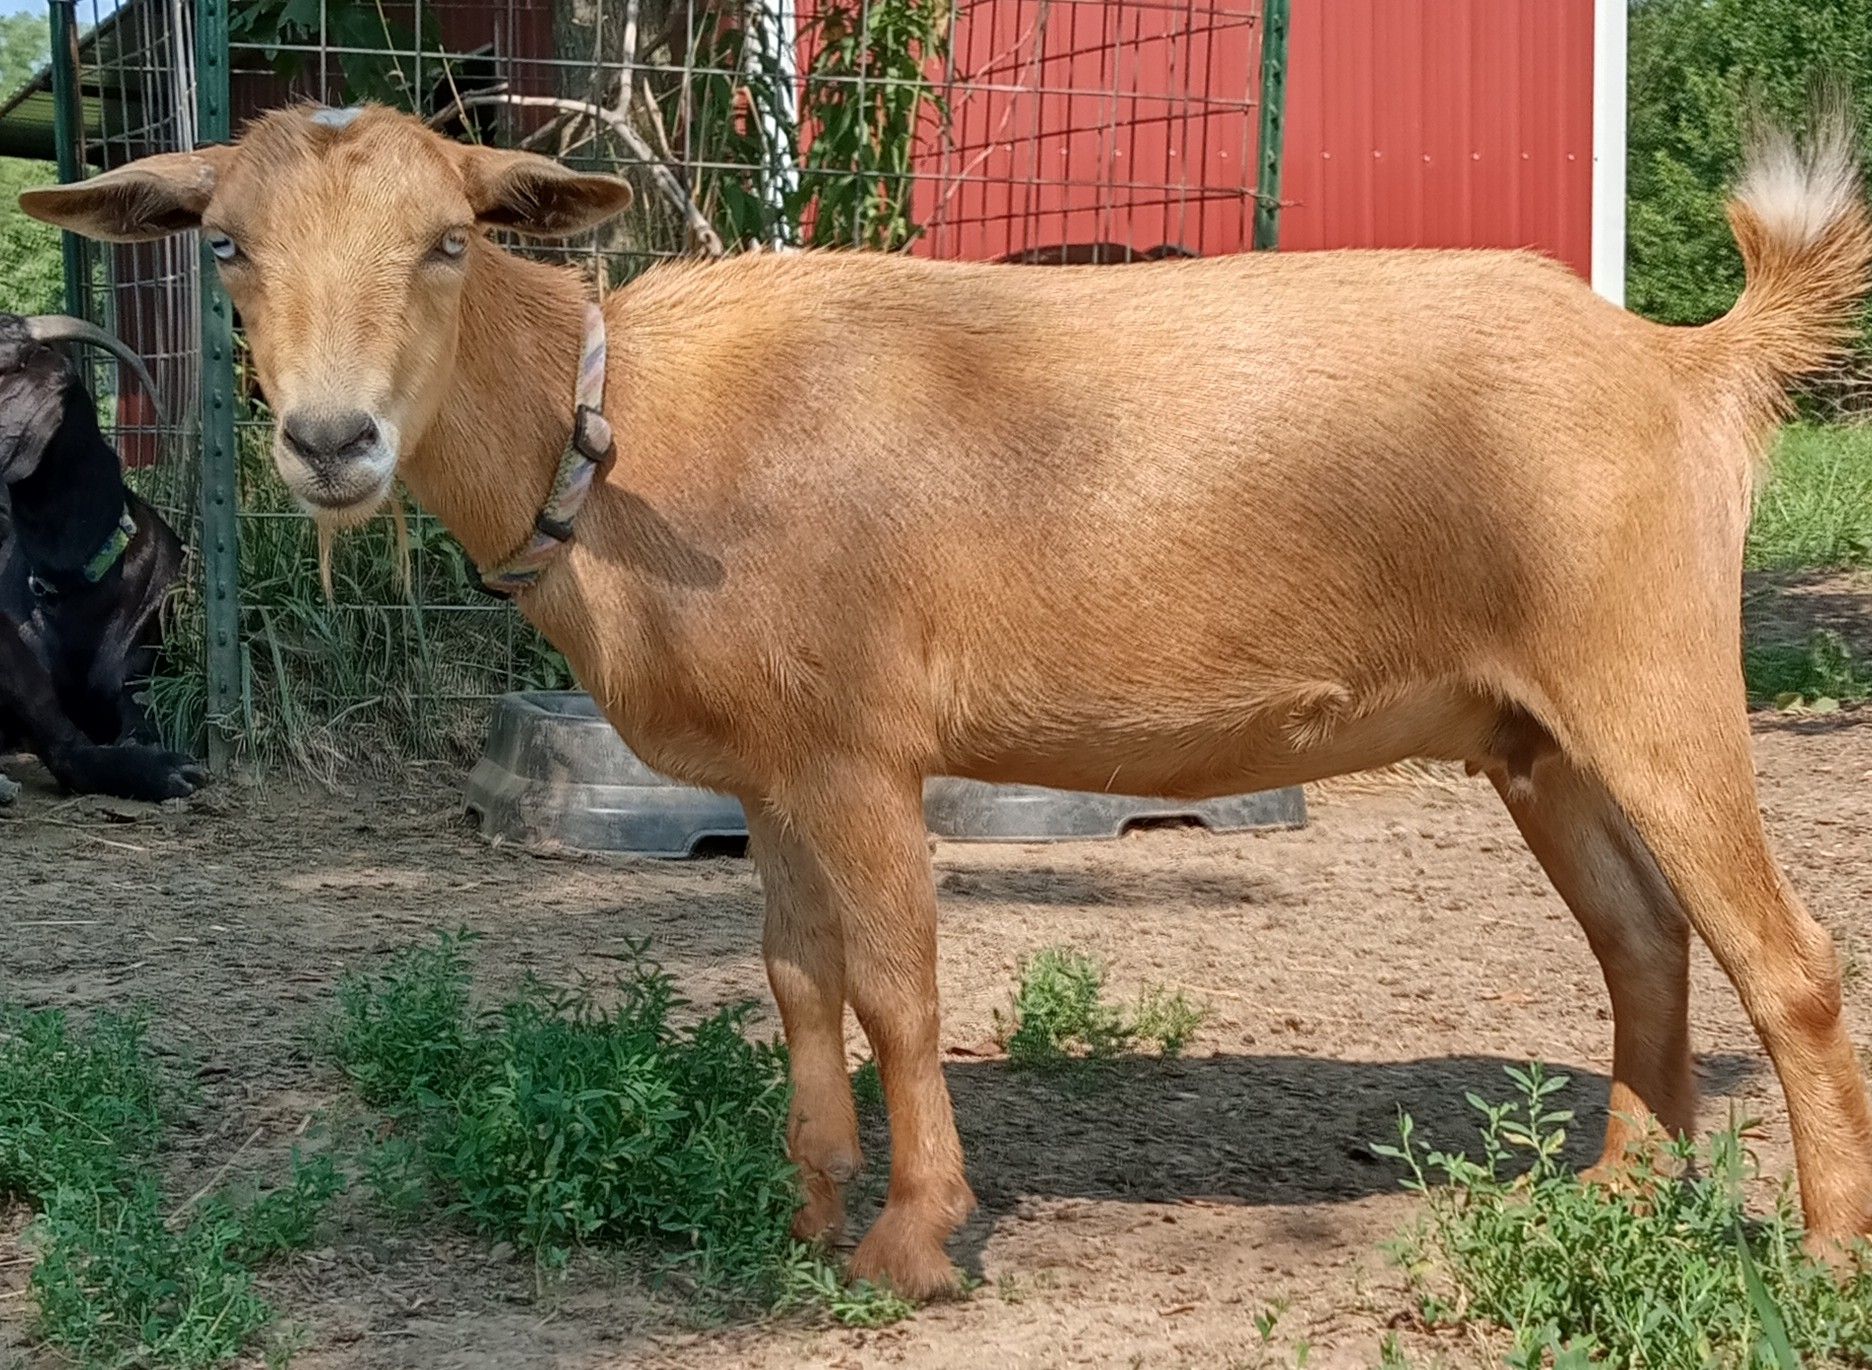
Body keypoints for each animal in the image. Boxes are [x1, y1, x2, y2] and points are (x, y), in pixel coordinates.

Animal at [26, 103, 1872, 1296]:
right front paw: (804, 1214)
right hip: (1532, 726)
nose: (329, 442)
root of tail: (1686, 362)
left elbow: (901, 989)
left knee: (1784, 957)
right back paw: (1624, 1195)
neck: (621, 441)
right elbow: (794, 980)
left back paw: (1820, 1252)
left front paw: (912, 1248)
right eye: (229, 246)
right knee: (1644, 937)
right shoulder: (768, 768)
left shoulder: (860, 748)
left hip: (1645, 662)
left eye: (449, 241)